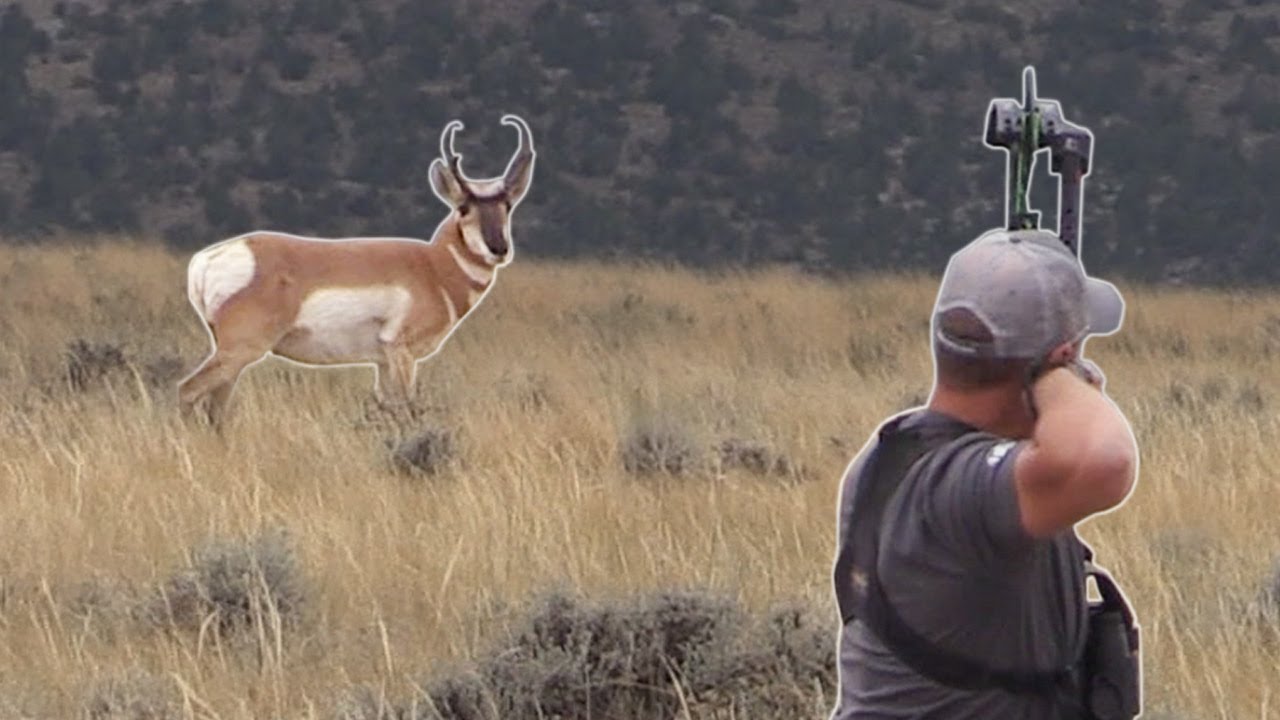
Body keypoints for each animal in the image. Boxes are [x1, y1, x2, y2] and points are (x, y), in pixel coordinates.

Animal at [177, 114, 535, 429]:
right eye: (463, 207)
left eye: (507, 205)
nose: (498, 248)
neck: (432, 266)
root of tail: (208, 258)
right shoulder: (401, 353)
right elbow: (407, 410)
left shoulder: (382, 362)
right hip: (240, 350)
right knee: (187, 391)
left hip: (232, 356)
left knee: (215, 408)